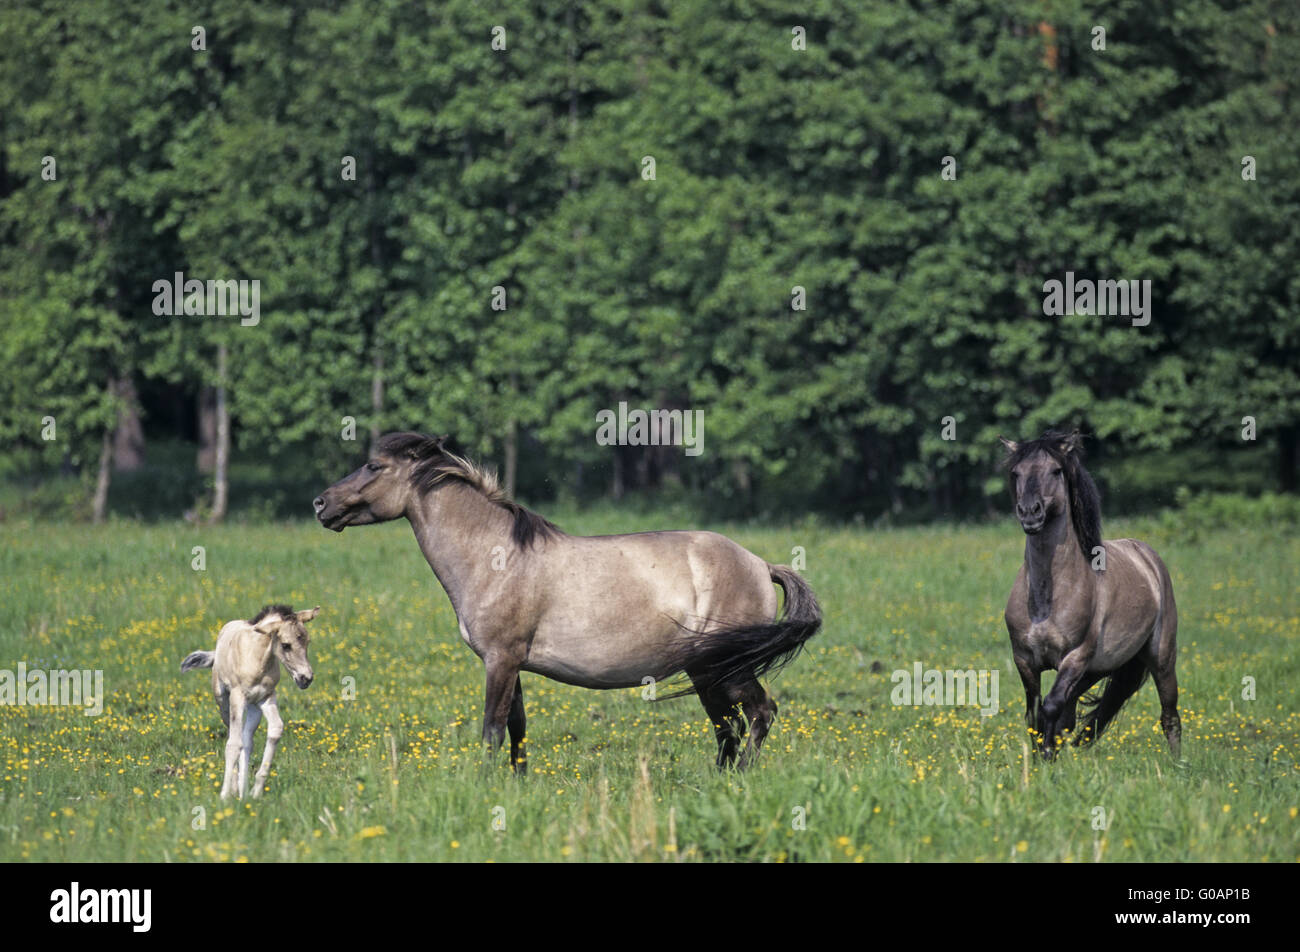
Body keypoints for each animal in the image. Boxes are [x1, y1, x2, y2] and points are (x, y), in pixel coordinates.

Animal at [181, 605, 320, 798]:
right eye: (286, 645)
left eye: (308, 642)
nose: (306, 679)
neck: (258, 660)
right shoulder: (236, 698)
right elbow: (233, 744)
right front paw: (225, 794)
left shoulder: (266, 698)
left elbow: (275, 729)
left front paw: (255, 790)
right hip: (223, 701)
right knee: (234, 736)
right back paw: (236, 788)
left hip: (254, 708)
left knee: (247, 740)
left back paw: (243, 789)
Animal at [312, 431, 821, 772]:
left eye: (375, 467)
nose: (320, 504)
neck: (495, 556)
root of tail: (761, 564)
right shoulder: (510, 664)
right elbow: (516, 730)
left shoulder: (500, 660)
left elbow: (492, 729)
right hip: (706, 671)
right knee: (727, 727)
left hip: (727, 667)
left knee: (759, 714)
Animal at [999, 429, 1180, 759]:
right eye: (1016, 472)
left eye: (1056, 471)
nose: (1030, 513)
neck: (1046, 596)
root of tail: (1146, 556)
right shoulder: (1024, 659)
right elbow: (1035, 712)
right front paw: (1040, 758)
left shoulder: (1075, 657)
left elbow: (1050, 707)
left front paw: (1047, 756)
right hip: (1096, 669)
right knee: (1069, 714)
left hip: (1161, 658)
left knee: (1170, 715)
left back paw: (1178, 764)